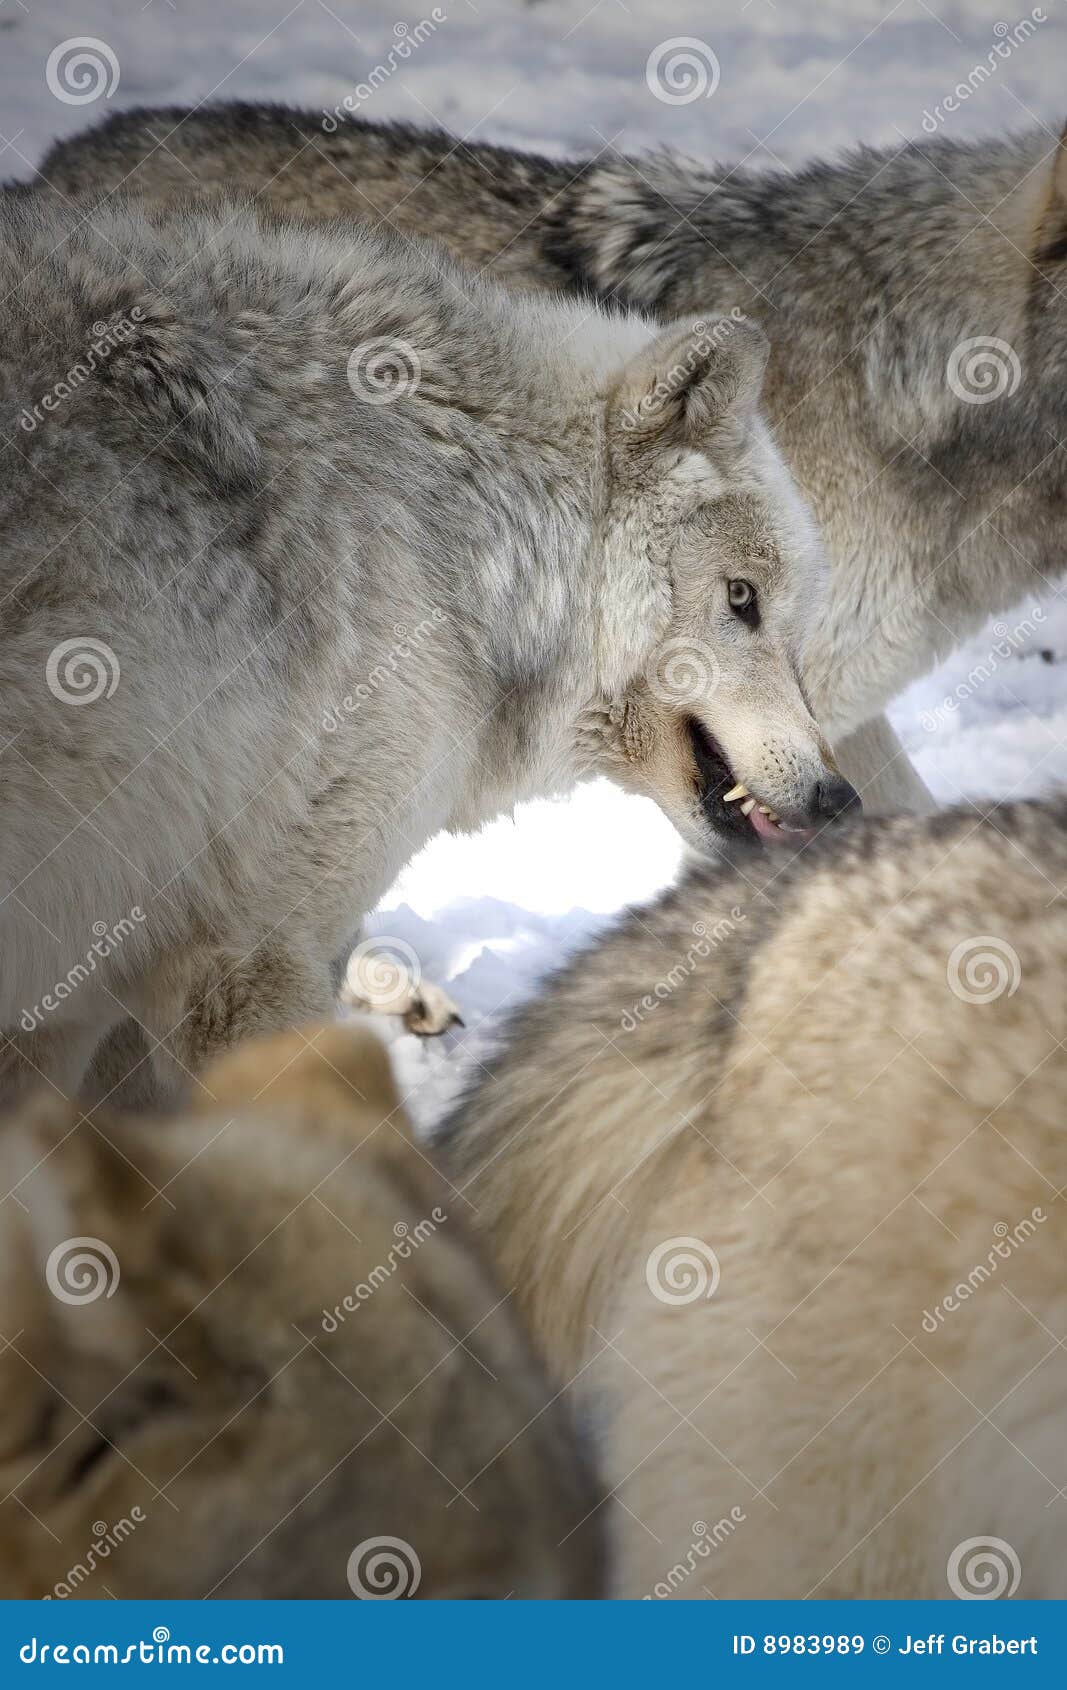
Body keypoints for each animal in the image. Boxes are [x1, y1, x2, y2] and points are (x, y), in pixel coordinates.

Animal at [0, 192, 853, 1104]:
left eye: (785, 617)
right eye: (742, 599)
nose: (842, 799)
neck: (474, 531)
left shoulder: (85, 995)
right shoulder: (245, 962)